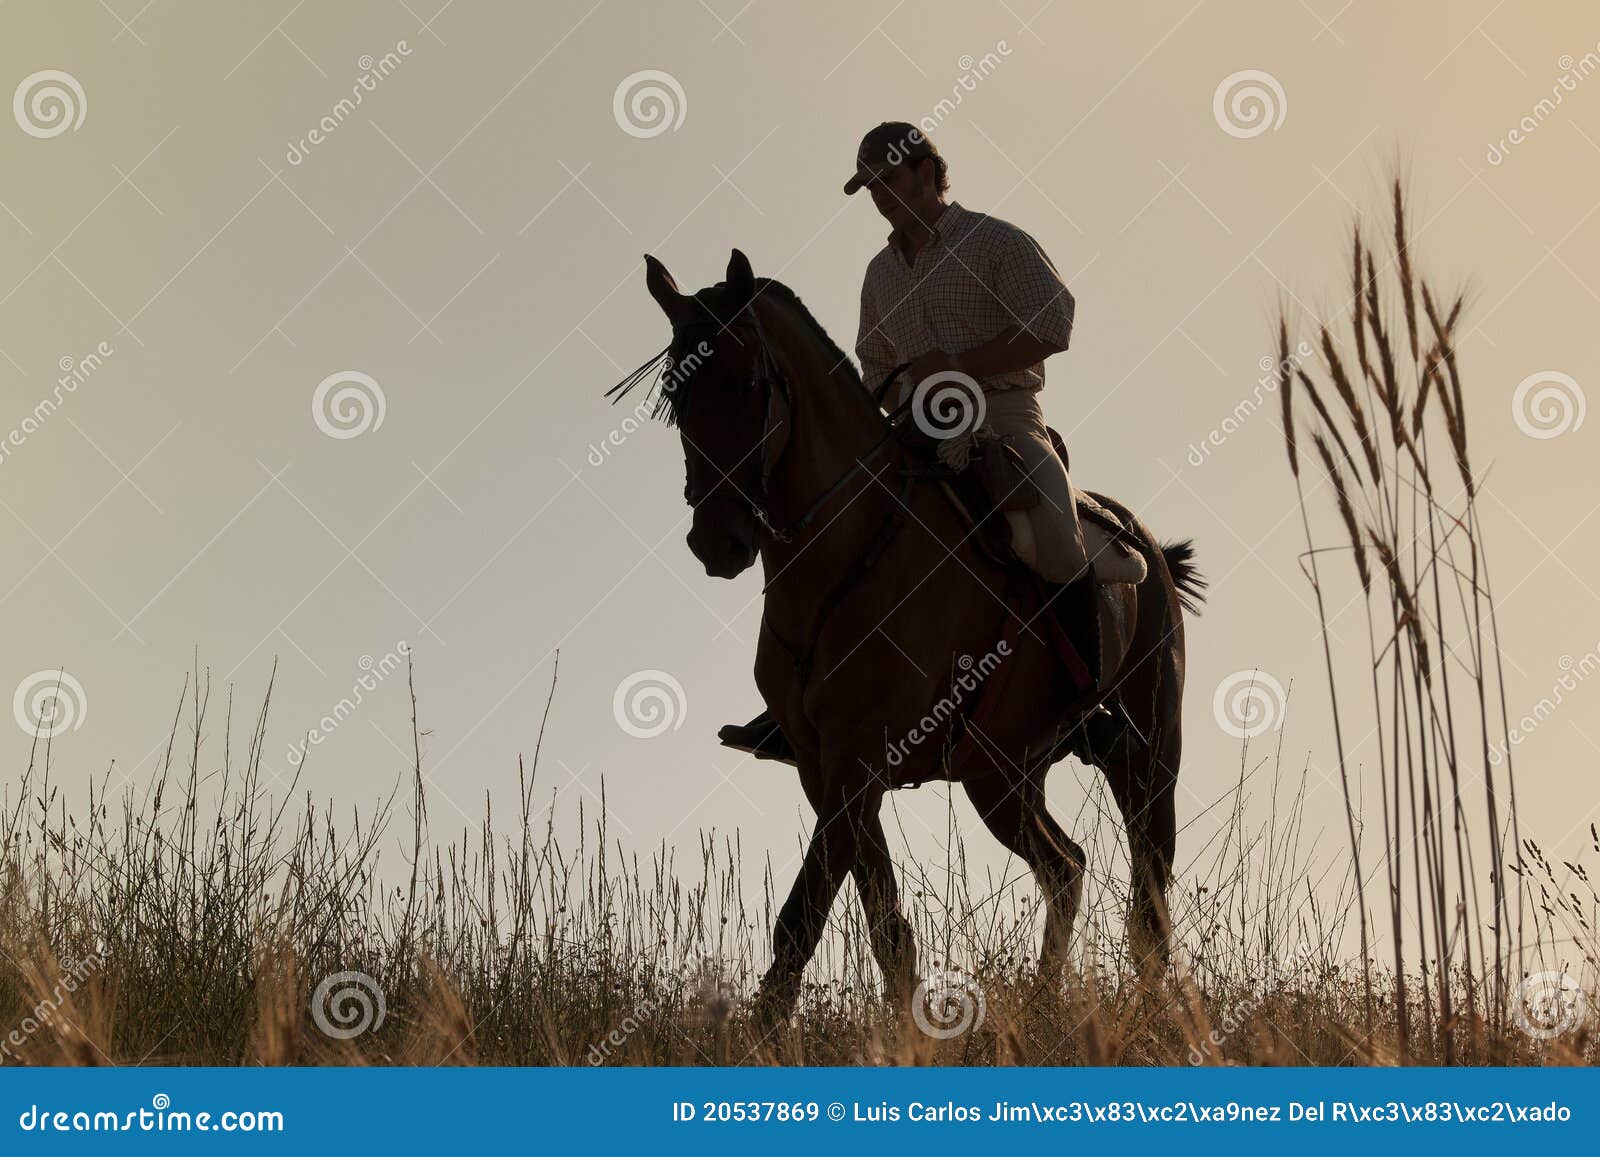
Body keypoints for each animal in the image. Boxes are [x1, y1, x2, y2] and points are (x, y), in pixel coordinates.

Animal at [628, 248, 1204, 1024]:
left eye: (748, 382)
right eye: (675, 394)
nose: (716, 542)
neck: (852, 551)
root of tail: (1149, 550)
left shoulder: (858, 761)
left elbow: (803, 914)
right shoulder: (829, 766)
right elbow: (883, 922)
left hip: (1148, 752)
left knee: (1148, 894)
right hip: (1002, 774)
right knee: (1066, 868)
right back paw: (1044, 1001)